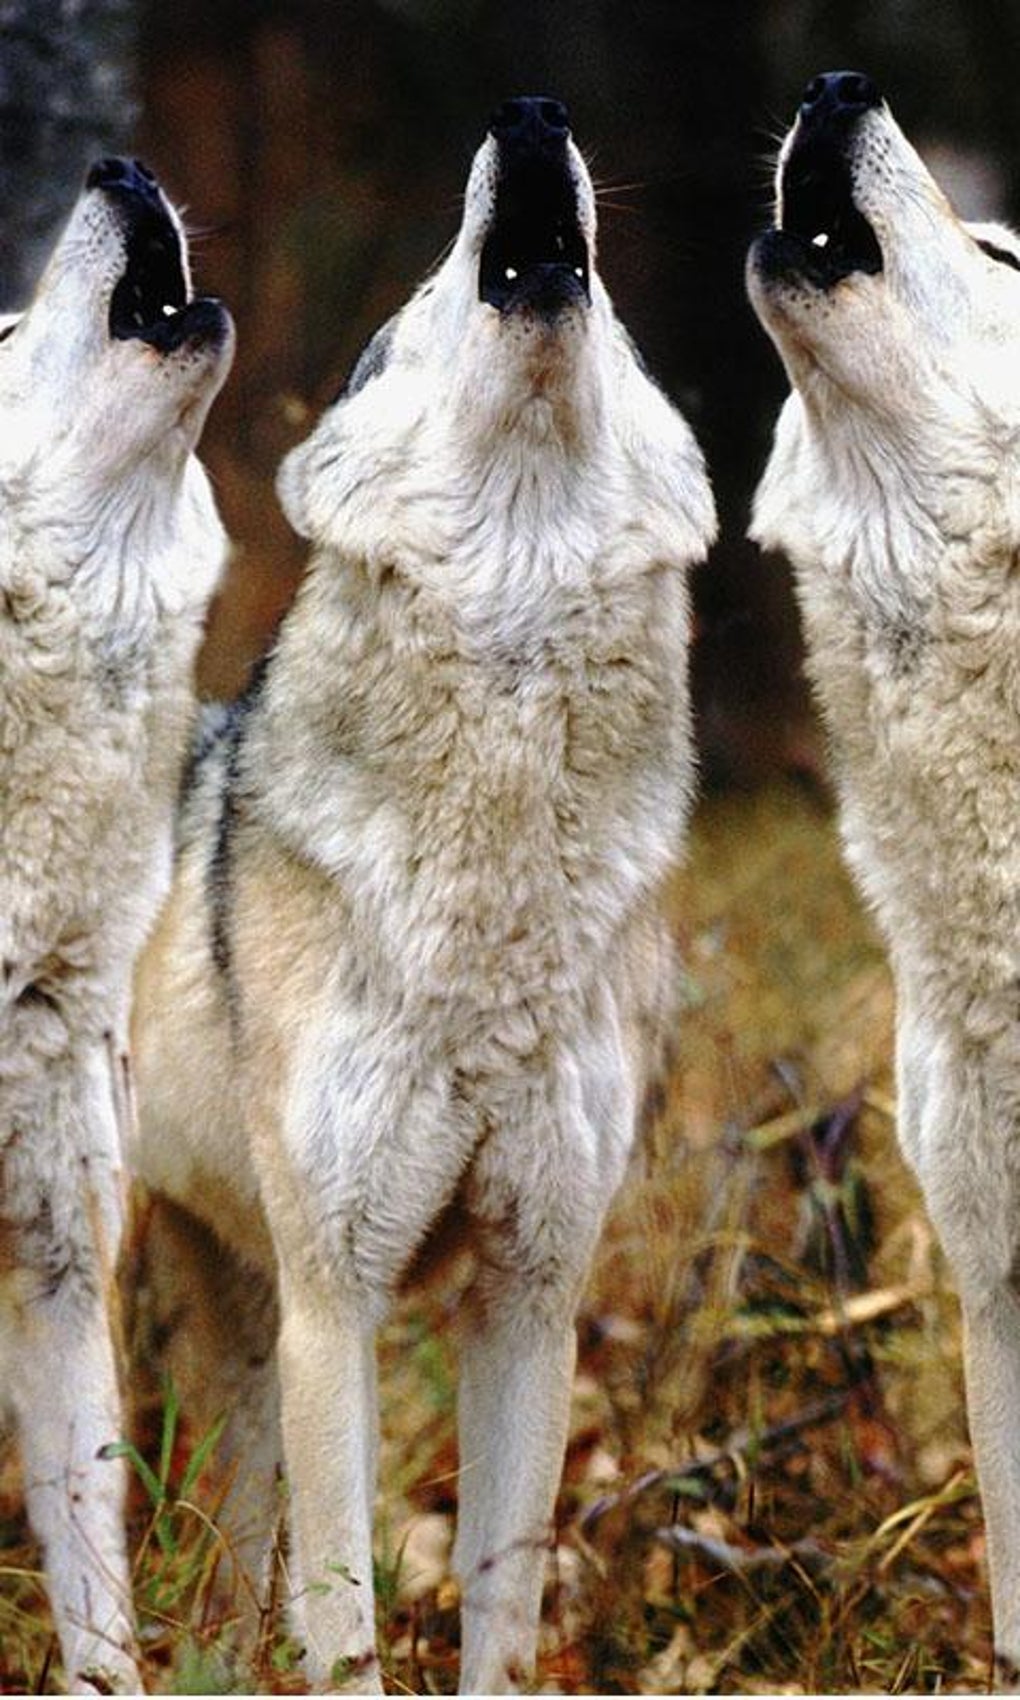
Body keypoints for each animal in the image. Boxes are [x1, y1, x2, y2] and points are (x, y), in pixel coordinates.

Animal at [130, 95, 716, 1693]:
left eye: (620, 321)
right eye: (434, 290)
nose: (533, 113)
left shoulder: (530, 1297)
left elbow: (499, 1617)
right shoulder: (339, 1304)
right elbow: (343, 1625)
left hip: (232, 1325)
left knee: (219, 1568)